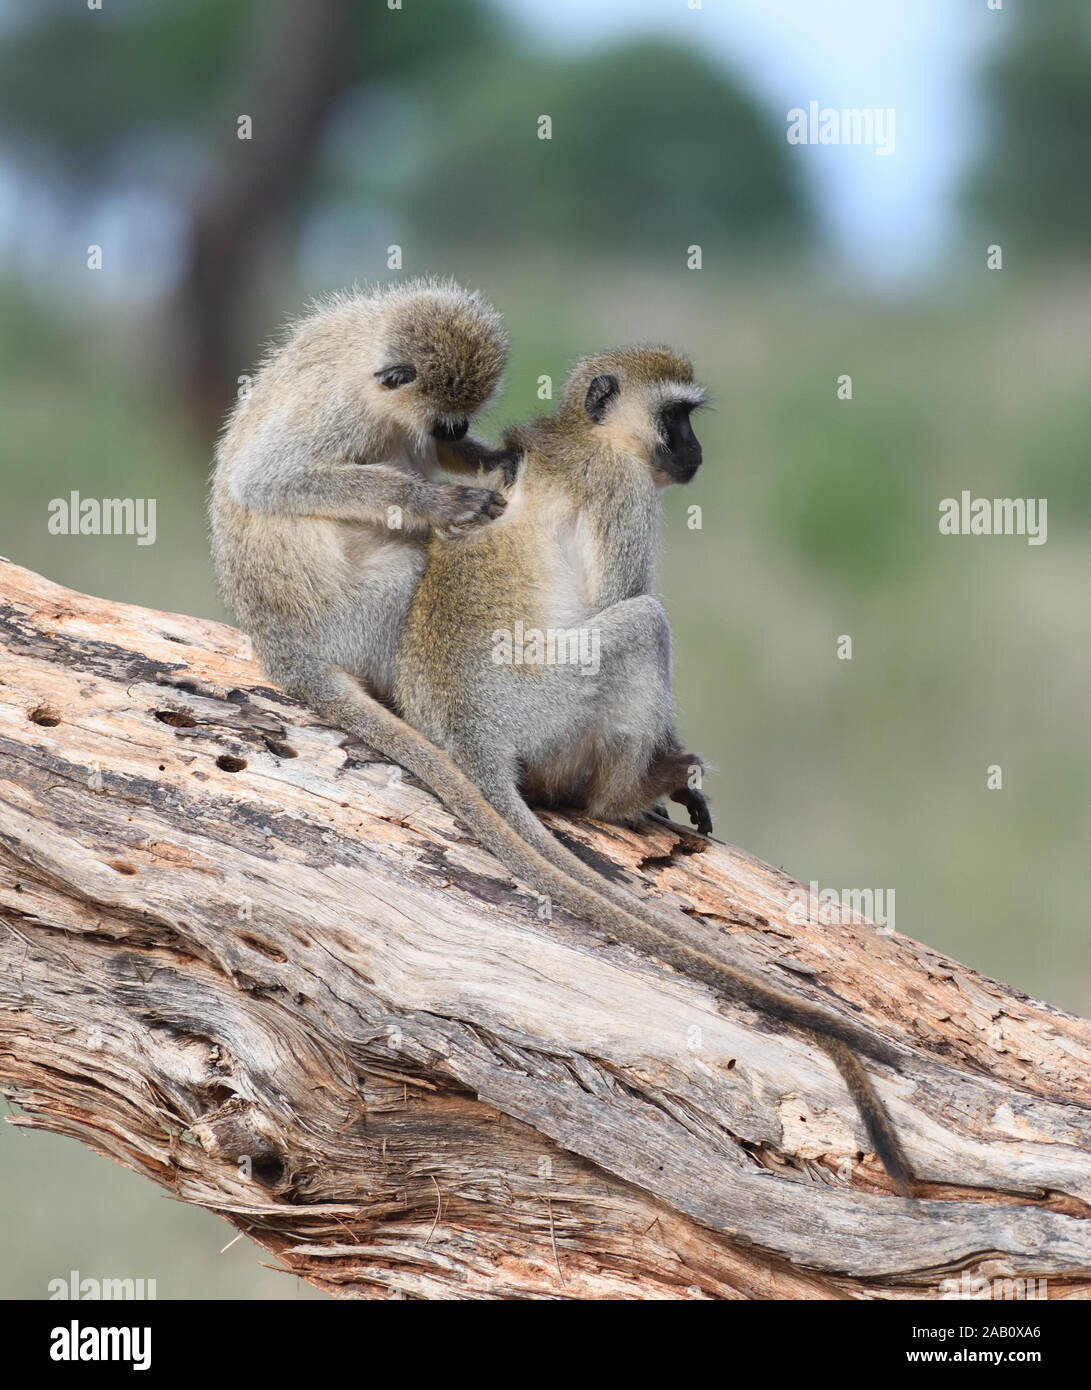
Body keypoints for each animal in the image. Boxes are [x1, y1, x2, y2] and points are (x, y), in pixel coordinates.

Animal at [209, 277, 517, 707]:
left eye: (459, 423)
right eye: (445, 422)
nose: (457, 431)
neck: (364, 345)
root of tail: (281, 652)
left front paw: (494, 458)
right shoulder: (342, 409)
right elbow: (263, 477)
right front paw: (438, 503)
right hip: (346, 625)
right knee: (407, 569)